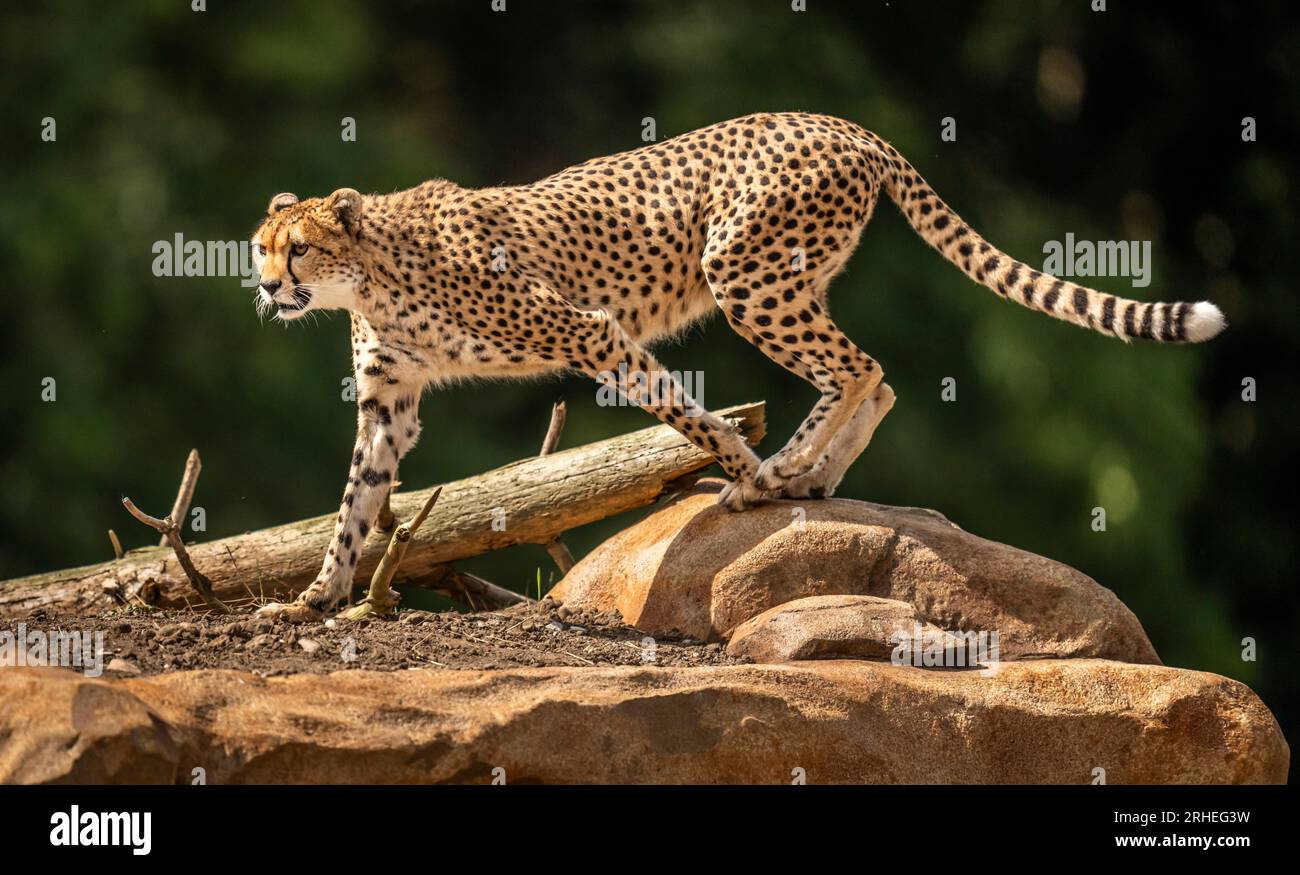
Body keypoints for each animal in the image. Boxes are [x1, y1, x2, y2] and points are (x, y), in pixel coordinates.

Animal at [250, 111, 1225, 621]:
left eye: (298, 249)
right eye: (261, 247)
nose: (264, 288)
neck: (369, 275)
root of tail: (839, 121)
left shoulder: (590, 329)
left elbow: (683, 412)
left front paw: (743, 469)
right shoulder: (391, 405)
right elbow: (354, 504)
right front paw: (312, 598)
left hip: (742, 272)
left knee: (859, 366)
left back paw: (781, 473)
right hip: (786, 278)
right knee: (878, 373)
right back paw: (813, 478)